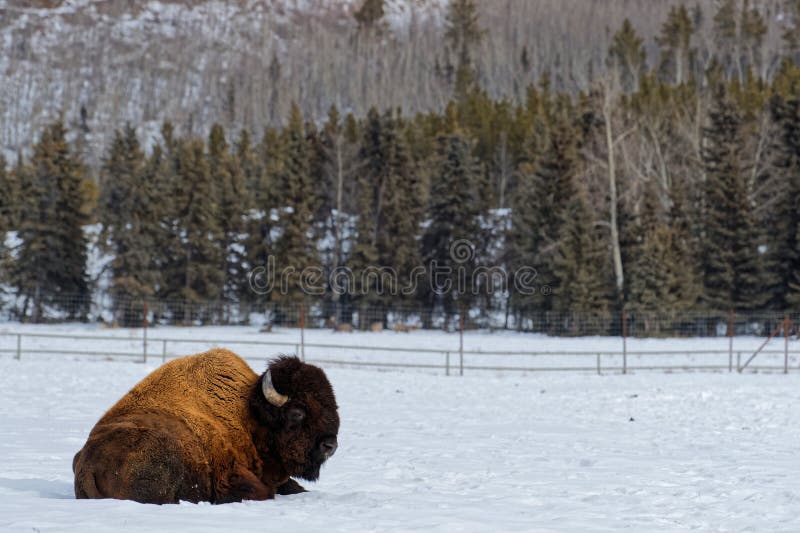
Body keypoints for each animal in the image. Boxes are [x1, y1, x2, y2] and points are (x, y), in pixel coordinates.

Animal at [72, 349, 339, 504]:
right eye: (297, 413)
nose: (330, 445)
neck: (251, 415)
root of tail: (88, 466)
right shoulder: (230, 476)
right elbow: (263, 490)